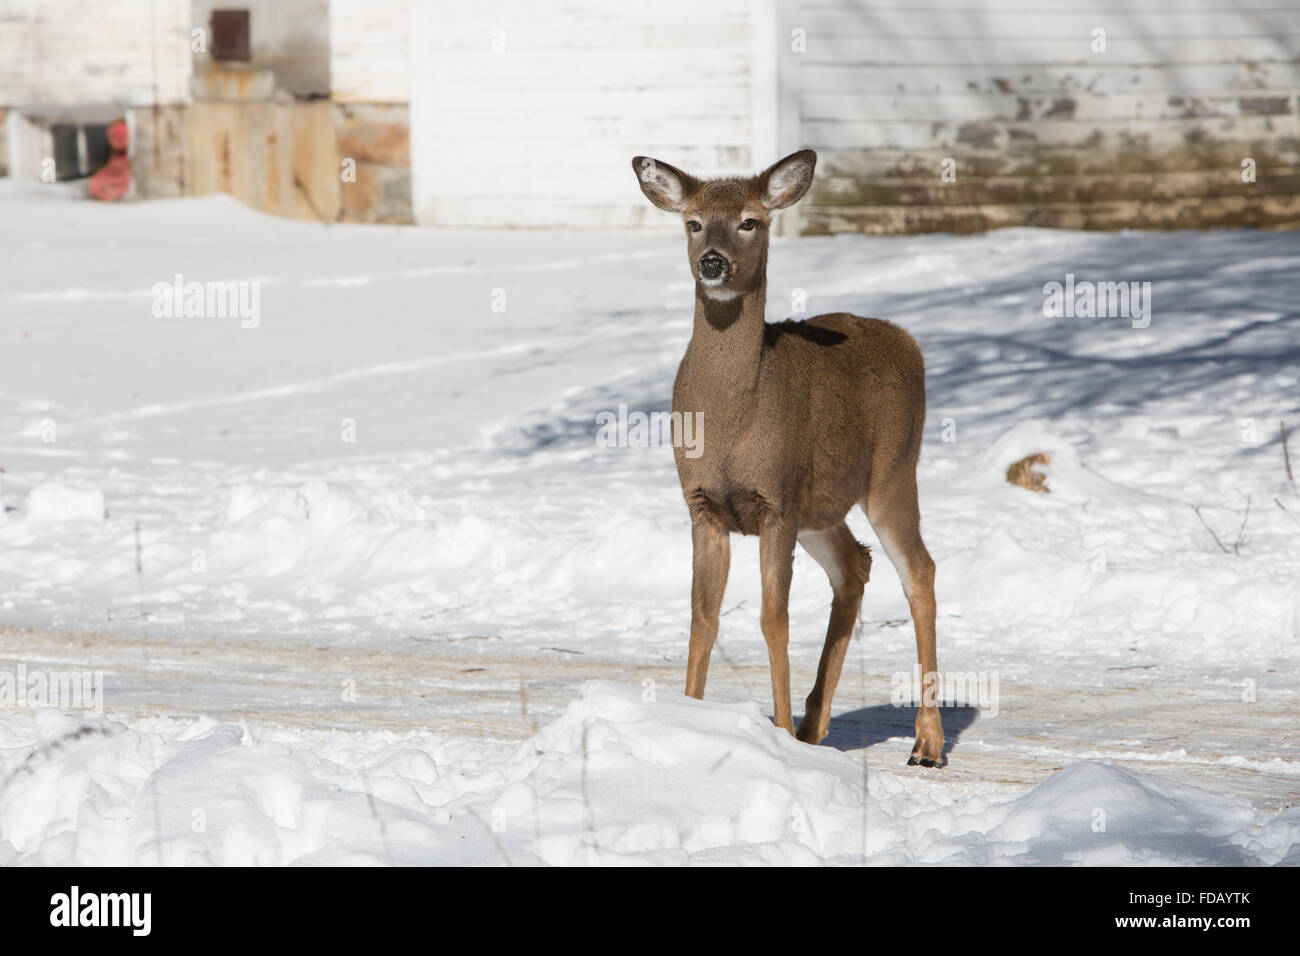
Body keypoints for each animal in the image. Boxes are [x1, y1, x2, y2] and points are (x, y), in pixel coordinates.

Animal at [631, 149, 944, 766]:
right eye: (693, 222)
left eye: (750, 221)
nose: (712, 262)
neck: (731, 417)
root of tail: (908, 342)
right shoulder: (703, 505)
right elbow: (703, 617)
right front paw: (690, 716)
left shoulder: (775, 499)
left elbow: (772, 618)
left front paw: (774, 732)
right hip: (820, 507)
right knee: (856, 564)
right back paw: (814, 722)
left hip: (893, 472)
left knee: (919, 571)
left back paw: (926, 742)